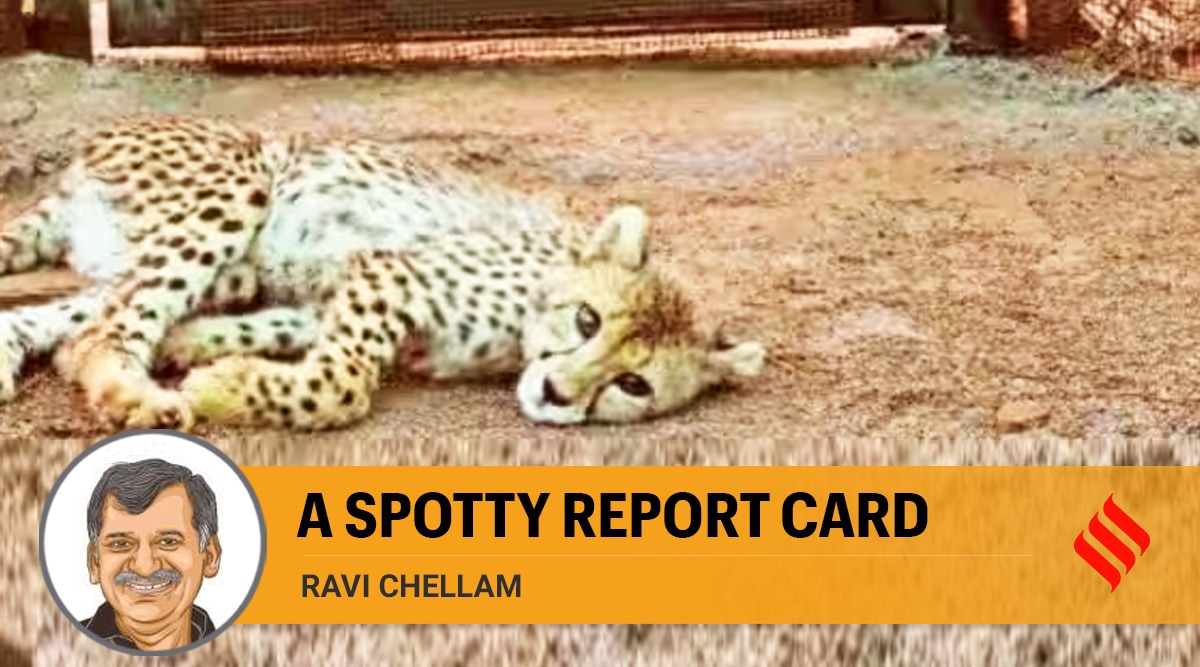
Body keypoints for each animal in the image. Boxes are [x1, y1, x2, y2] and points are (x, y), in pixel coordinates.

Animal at [0, 115, 765, 431]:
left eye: (635, 384)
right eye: (587, 320)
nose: (555, 392)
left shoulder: (327, 296)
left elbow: (283, 334)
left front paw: (203, 353)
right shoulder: (392, 273)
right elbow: (343, 383)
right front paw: (221, 387)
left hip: (226, 266)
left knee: (67, 321)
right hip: (239, 188)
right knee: (105, 328)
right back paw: (136, 395)